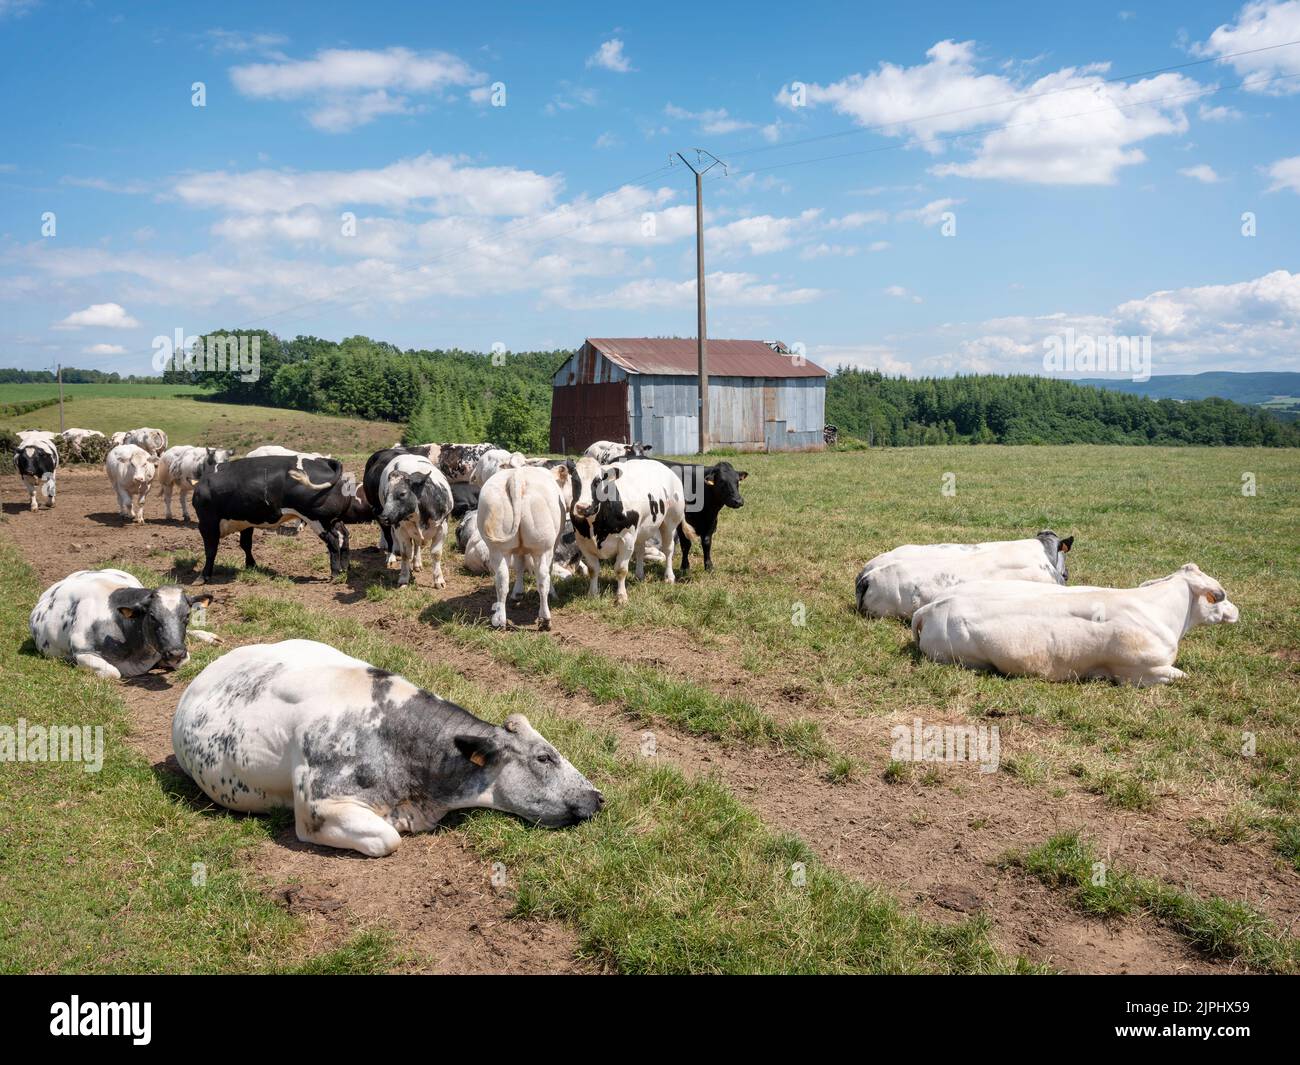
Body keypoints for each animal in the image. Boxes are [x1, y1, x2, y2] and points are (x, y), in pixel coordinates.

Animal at [29, 568, 217, 680]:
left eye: (187, 614)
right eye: (152, 616)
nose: (175, 652)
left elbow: (185, 660)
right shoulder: (82, 652)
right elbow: (114, 672)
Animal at [193, 455, 361, 584]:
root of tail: (324, 461)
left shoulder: (207, 523)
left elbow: (210, 551)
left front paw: (203, 576)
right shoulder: (246, 522)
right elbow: (246, 545)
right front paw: (251, 565)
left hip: (318, 519)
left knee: (333, 541)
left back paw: (335, 574)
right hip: (333, 519)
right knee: (344, 536)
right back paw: (345, 568)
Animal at [375, 452, 454, 587]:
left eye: (402, 493)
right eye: (386, 494)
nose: (383, 517)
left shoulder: (442, 527)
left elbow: (436, 553)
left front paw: (438, 579)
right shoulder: (400, 528)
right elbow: (405, 554)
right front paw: (403, 577)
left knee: (417, 544)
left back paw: (417, 563)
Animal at [567, 456, 687, 605]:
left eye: (598, 481)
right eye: (574, 479)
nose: (583, 507)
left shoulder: (626, 539)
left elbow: (621, 569)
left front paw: (621, 596)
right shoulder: (583, 542)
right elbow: (593, 569)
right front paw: (592, 594)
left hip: (670, 522)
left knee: (668, 549)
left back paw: (669, 577)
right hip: (642, 529)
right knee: (640, 550)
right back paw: (639, 575)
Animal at [911, 564, 1239, 687]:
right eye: (1219, 595)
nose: (1236, 611)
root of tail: (930, 607)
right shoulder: (1142, 673)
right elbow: (1185, 677)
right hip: (967, 659)